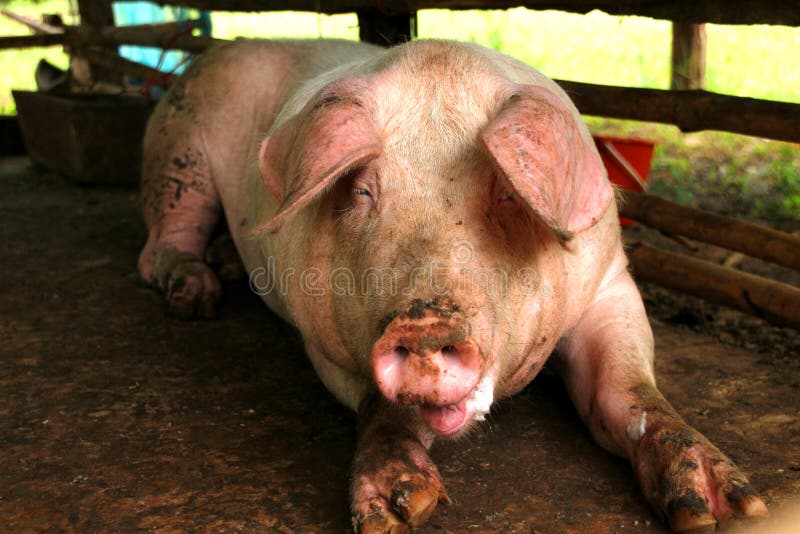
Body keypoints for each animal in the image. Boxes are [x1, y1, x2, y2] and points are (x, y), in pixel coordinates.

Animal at [138, 38, 768, 532]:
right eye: (362, 191)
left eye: (507, 192)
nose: (423, 322)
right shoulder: (318, 334)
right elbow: (379, 405)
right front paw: (400, 510)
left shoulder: (611, 281)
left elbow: (629, 388)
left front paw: (724, 510)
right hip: (177, 142)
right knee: (162, 240)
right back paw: (195, 296)